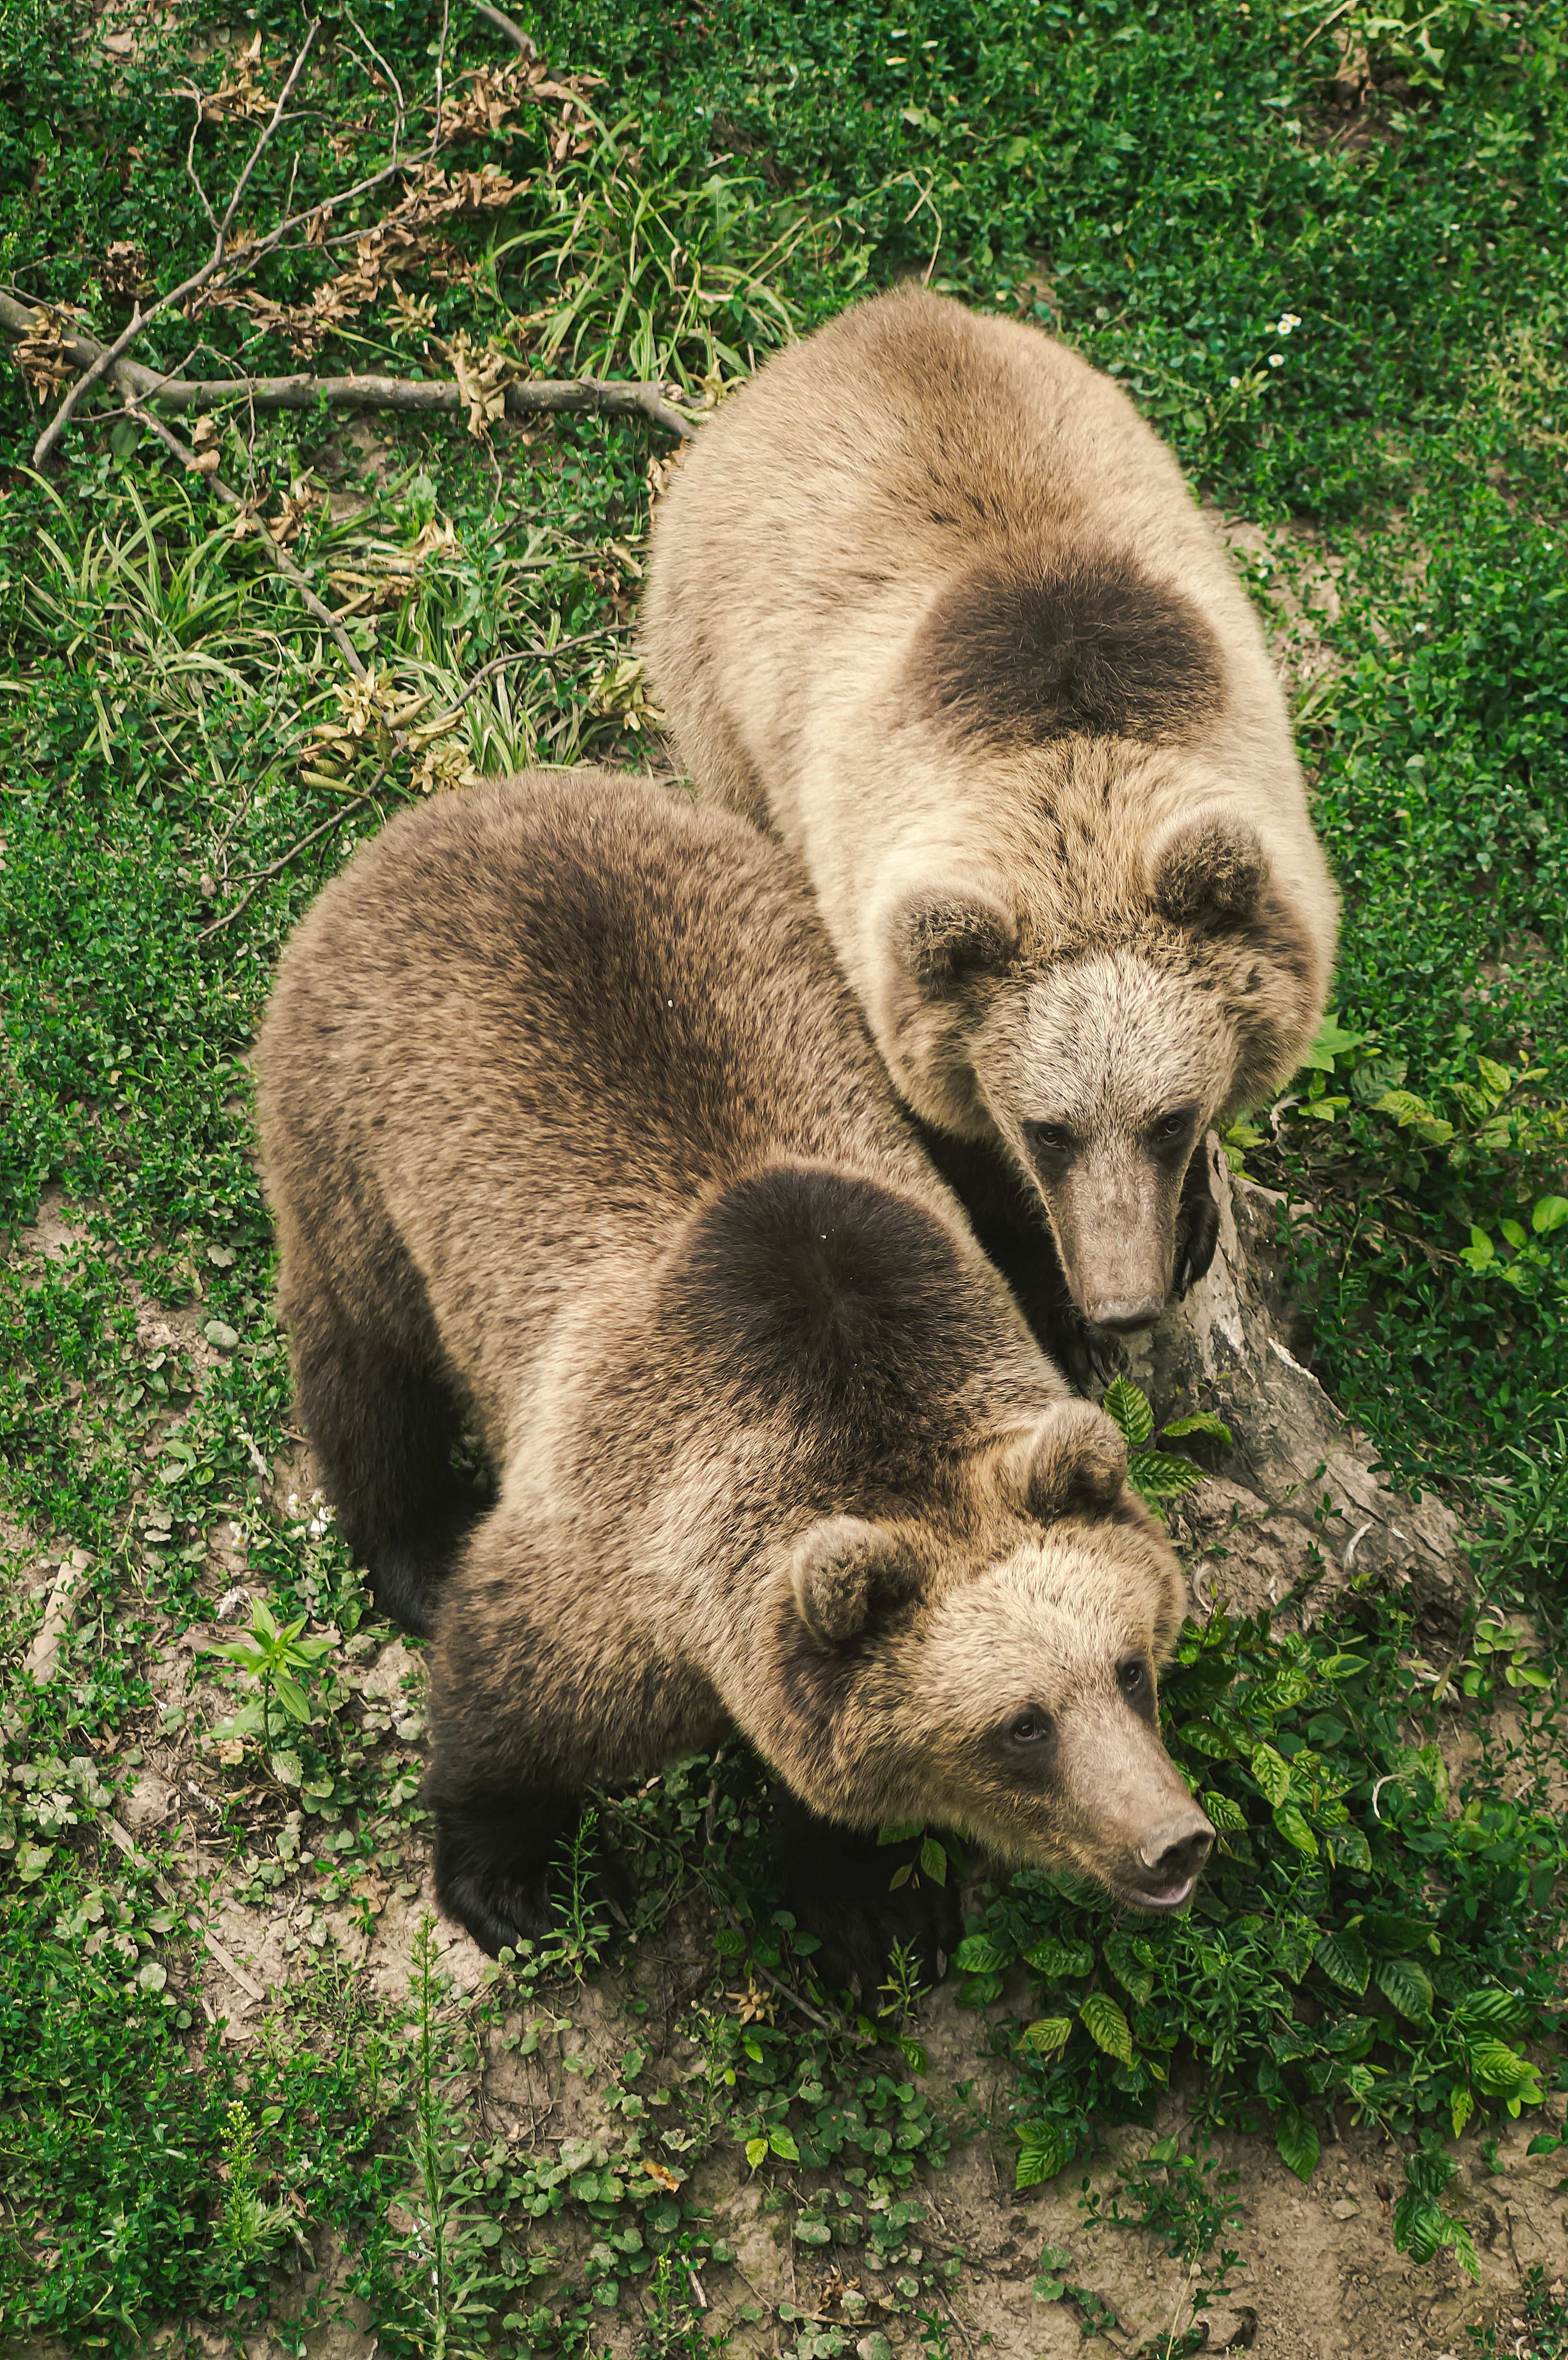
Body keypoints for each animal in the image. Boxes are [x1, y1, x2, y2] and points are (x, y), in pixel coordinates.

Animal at [253, 768, 1212, 1989]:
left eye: (1131, 1667)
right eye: (1023, 1724)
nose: (1171, 1837)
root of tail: (479, 797)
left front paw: (872, 1906)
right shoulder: (630, 1554)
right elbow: (509, 1690)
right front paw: (525, 1883)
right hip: (355, 1134)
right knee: (363, 1355)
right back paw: (414, 1542)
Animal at [641, 284, 1339, 1379]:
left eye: (1168, 1120)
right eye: (1047, 1130)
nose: (1122, 1304)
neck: (1065, 754)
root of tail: (866, 319)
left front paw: (1193, 1221)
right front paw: (1045, 1295)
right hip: (710, 679)